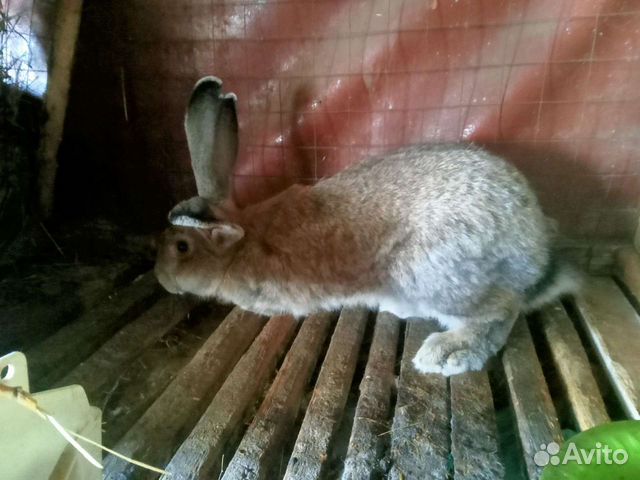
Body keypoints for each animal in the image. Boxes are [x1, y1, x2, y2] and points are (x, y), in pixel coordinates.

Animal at [154, 76, 581, 376]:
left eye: (181, 246)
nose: (161, 280)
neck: (241, 241)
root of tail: (538, 256)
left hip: (433, 275)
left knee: (501, 312)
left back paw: (445, 353)